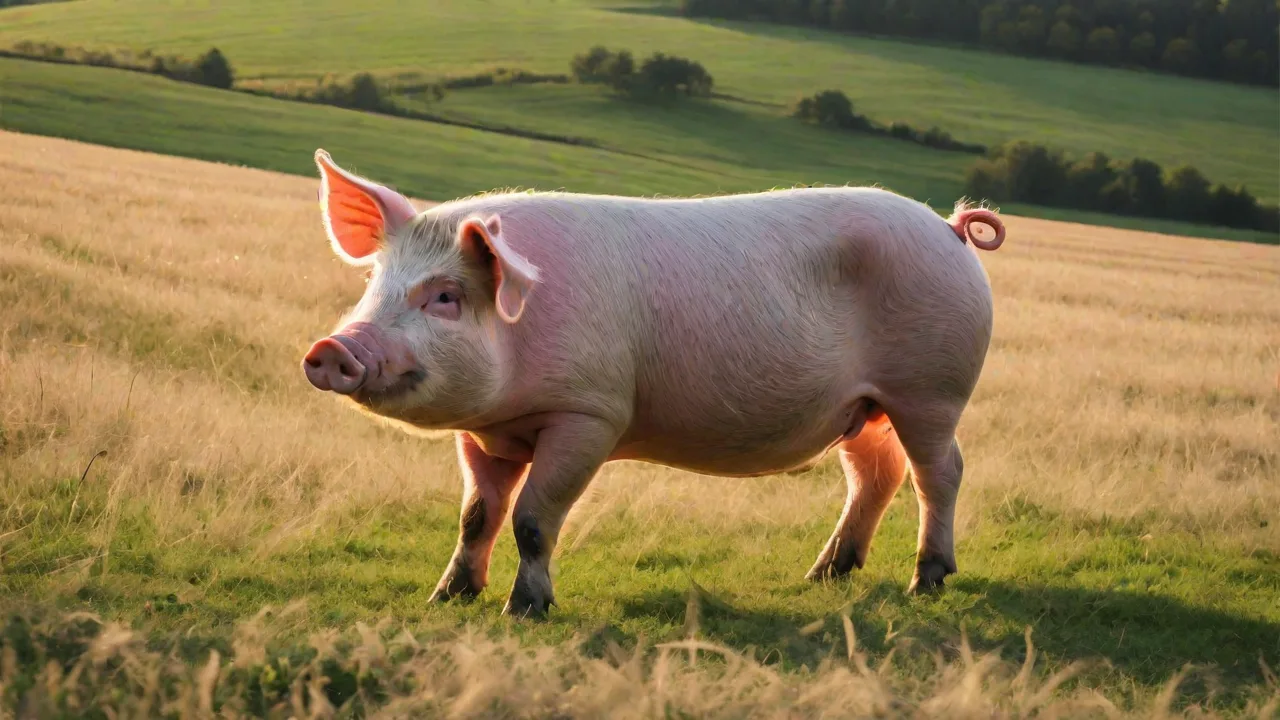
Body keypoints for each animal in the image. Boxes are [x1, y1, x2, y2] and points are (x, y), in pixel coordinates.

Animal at [301, 149, 1008, 618]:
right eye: (374, 282)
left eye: (446, 296)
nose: (332, 349)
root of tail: (948, 229)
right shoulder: (483, 431)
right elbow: (477, 514)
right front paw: (446, 598)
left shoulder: (591, 413)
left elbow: (532, 517)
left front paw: (524, 611)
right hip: (862, 406)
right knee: (876, 474)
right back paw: (822, 577)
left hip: (932, 387)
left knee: (940, 472)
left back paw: (926, 581)